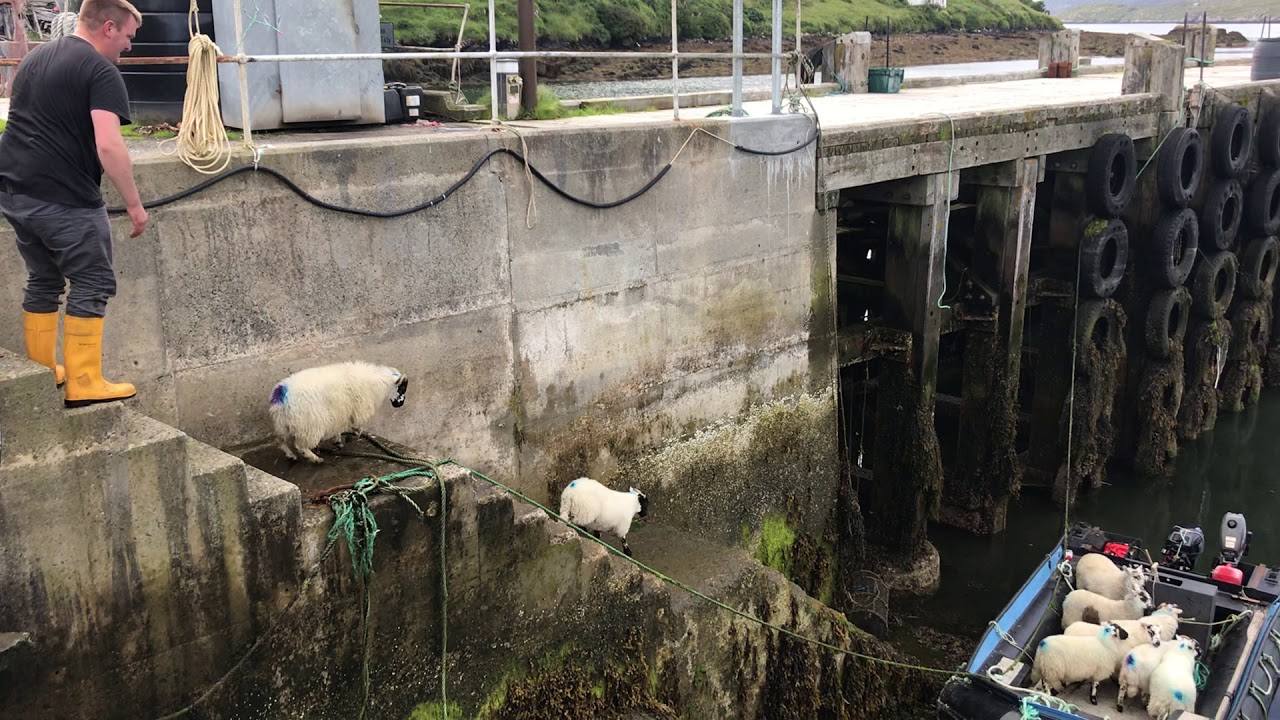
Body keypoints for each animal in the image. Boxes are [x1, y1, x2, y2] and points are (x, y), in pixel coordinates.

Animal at [269, 361, 409, 464]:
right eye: (402, 388)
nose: (400, 404)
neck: (379, 384)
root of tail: (281, 394)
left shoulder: (339, 413)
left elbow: (338, 428)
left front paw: (338, 441)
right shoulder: (358, 410)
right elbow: (358, 425)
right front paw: (355, 433)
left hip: (283, 424)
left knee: (279, 441)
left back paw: (291, 455)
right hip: (310, 424)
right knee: (301, 446)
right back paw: (315, 459)